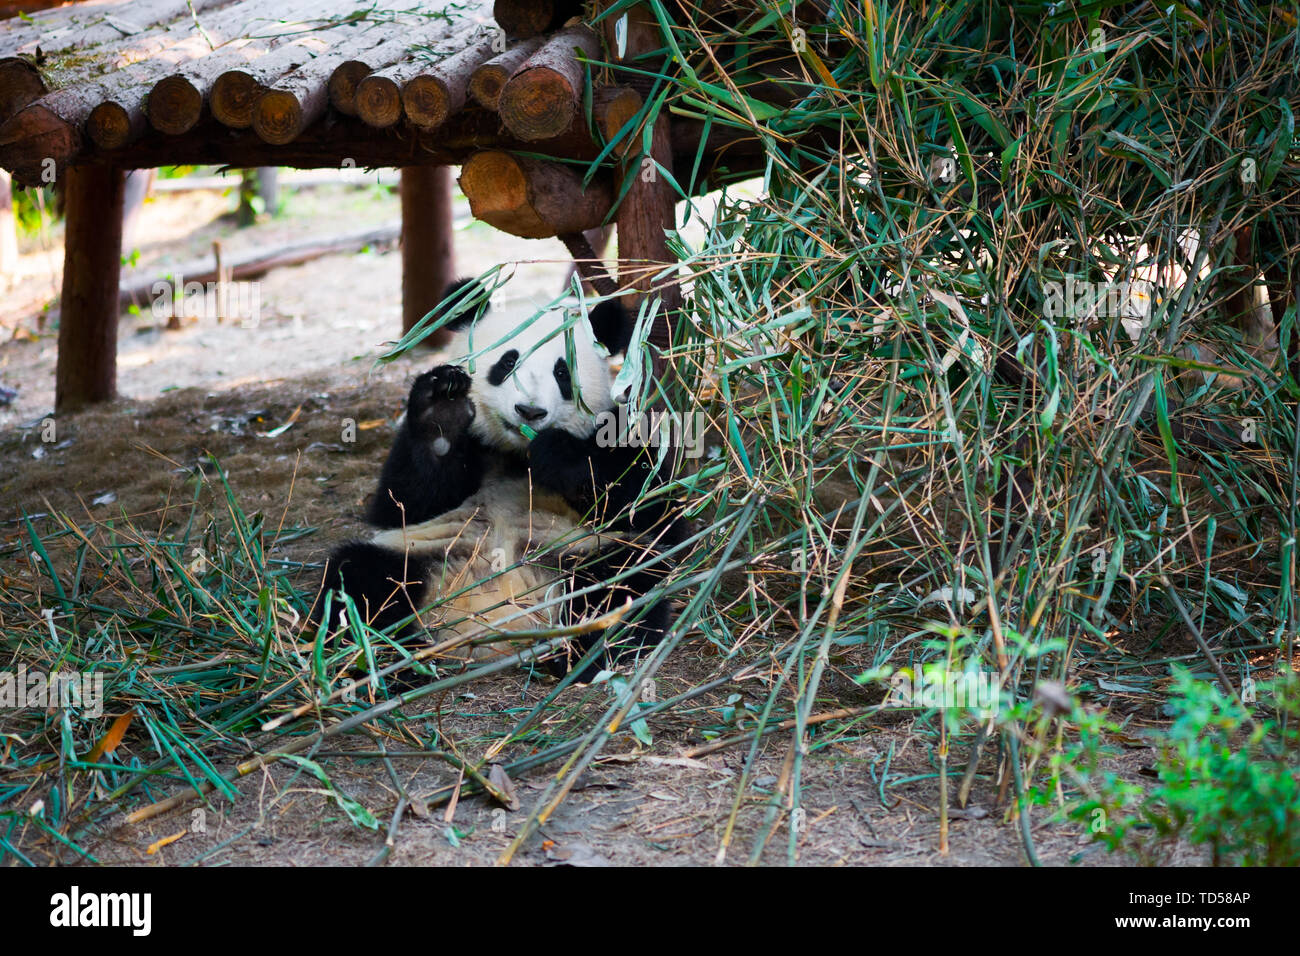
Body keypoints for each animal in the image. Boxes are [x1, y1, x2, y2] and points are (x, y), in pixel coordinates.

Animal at [314, 278, 683, 679]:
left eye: (562, 373)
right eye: (507, 362)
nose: (530, 411)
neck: (515, 454)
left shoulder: (619, 430)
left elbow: (650, 507)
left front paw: (557, 452)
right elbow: (403, 504)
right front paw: (442, 412)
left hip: (581, 552)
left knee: (626, 581)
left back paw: (580, 652)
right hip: (418, 554)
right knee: (359, 582)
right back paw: (385, 661)